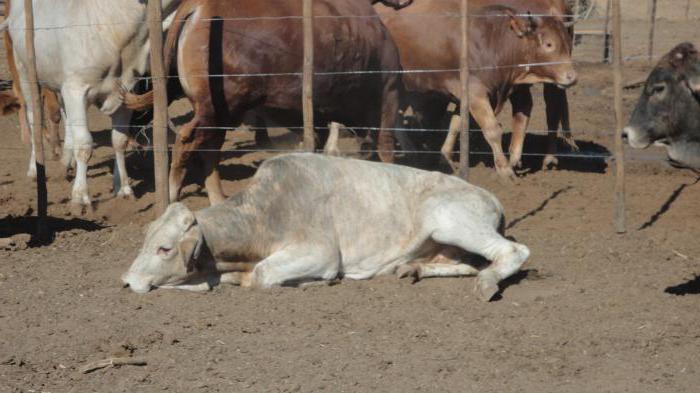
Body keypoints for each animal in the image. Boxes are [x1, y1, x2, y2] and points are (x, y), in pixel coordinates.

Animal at [0, 0, 180, 213]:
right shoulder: (76, 89)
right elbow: (85, 144)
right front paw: (81, 197)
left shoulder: (125, 92)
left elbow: (119, 141)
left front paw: (123, 188)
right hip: (26, 72)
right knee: (33, 117)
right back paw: (35, 169)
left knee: (65, 116)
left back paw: (67, 161)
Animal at [123, 153, 532, 300]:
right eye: (144, 242)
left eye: (165, 248)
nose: (127, 281)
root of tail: (490, 196)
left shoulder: (320, 253)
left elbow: (264, 275)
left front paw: (309, 283)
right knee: (467, 264)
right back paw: (410, 268)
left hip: (451, 221)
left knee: (513, 252)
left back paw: (487, 283)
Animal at [126, 0, 404, 204]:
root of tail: (201, 6)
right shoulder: (388, 93)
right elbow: (385, 148)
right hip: (215, 108)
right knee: (188, 140)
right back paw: (172, 194)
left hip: (223, 112)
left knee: (209, 149)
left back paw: (217, 197)